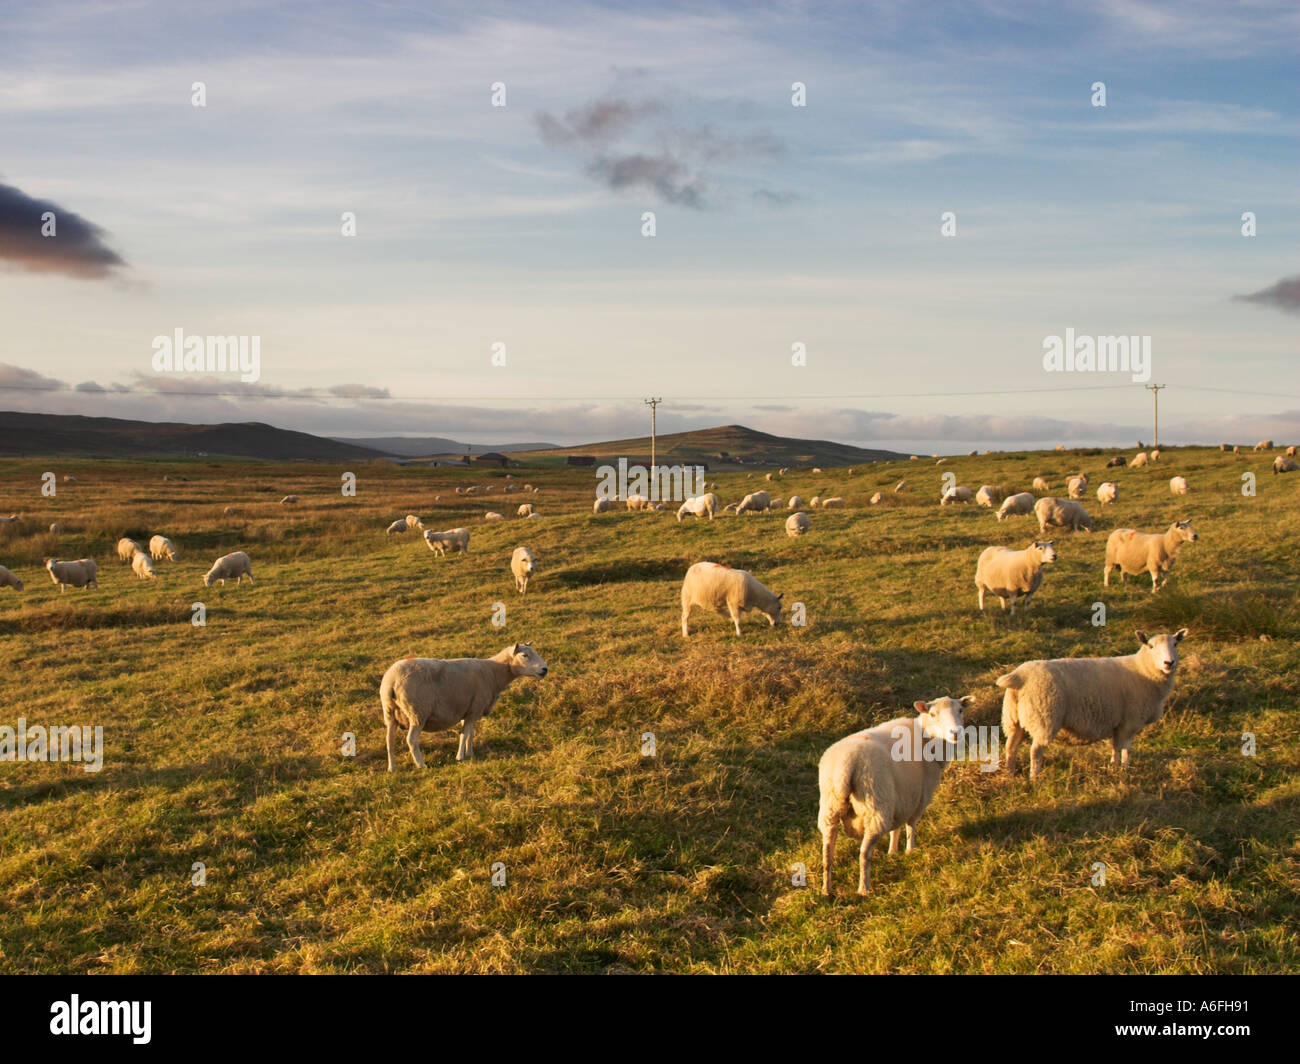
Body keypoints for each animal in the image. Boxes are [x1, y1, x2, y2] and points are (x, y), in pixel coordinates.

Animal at [380, 642, 549, 769]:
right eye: (524, 655)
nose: (545, 669)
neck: (493, 673)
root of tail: (392, 681)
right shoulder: (475, 708)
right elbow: (464, 734)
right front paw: (460, 757)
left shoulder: (469, 710)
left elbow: (470, 733)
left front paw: (470, 753)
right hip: (418, 712)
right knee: (411, 740)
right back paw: (421, 765)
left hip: (390, 713)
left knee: (389, 740)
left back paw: (392, 768)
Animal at [817, 696, 971, 896]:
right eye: (932, 714)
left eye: (960, 710)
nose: (955, 733)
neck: (927, 738)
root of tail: (846, 765)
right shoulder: (919, 797)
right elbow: (910, 825)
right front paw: (909, 850)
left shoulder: (900, 797)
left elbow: (896, 827)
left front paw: (892, 852)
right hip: (876, 805)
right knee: (864, 853)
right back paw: (864, 888)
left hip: (830, 809)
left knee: (827, 852)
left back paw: (826, 889)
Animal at [998, 629, 1188, 779]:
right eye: (1151, 646)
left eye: (1175, 644)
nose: (1169, 663)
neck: (1143, 669)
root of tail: (1019, 676)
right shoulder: (1130, 721)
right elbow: (1126, 748)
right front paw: (1125, 769)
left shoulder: (1117, 723)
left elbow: (1115, 747)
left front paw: (1114, 767)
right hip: (1045, 718)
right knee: (1035, 751)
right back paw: (1034, 777)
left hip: (1013, 719)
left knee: (1010, 747)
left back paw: (1010, 774)